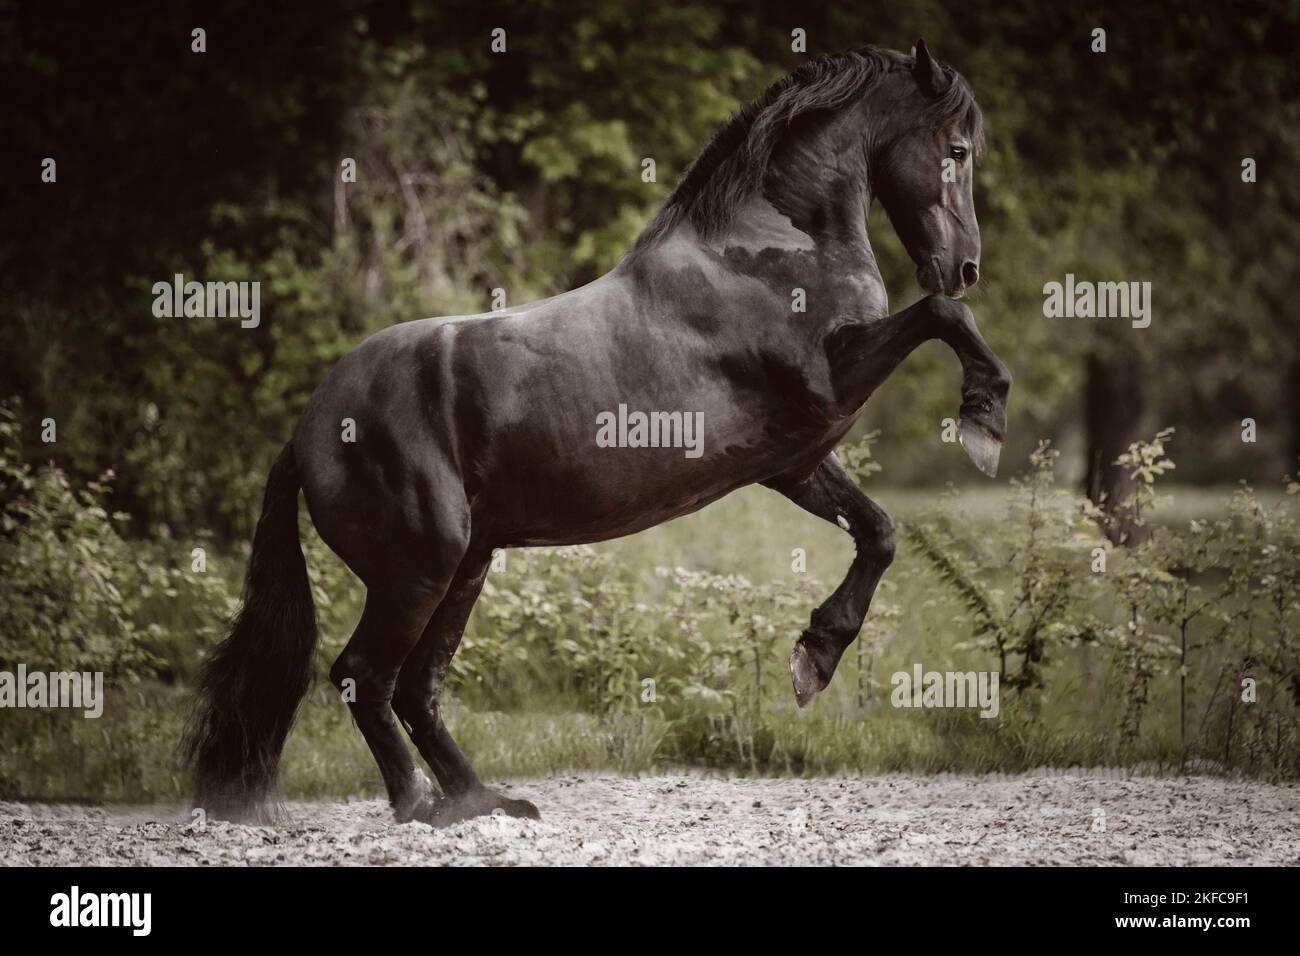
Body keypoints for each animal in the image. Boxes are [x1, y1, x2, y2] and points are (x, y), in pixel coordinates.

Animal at [183, 40, 1011, 826]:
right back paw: (421, 807)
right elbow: (941, 318)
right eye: (956, 150)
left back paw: (483, 802)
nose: (966, 266)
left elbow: (879, 533)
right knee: (364, 676)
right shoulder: (827, 387)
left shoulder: (797, 460)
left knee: (417, 687)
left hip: (465, 566)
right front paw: (984, 421)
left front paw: (814, 657)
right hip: (418, 569)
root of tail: (309, 430)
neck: (766, 254)